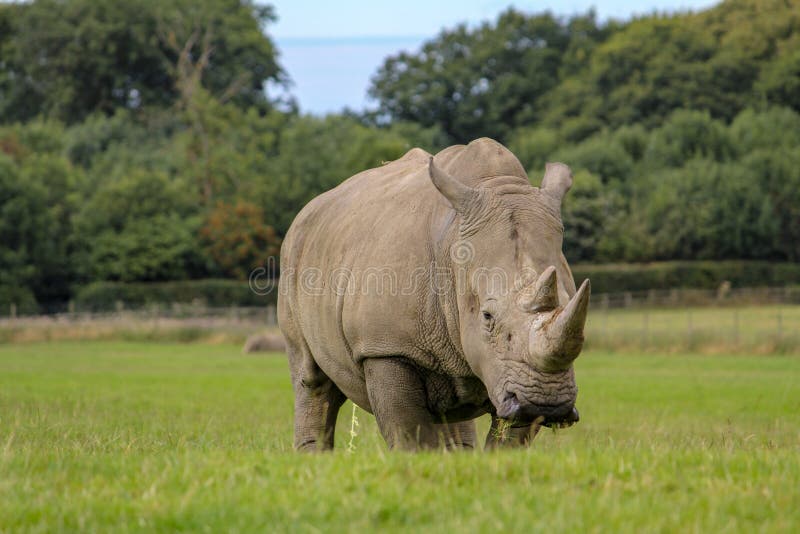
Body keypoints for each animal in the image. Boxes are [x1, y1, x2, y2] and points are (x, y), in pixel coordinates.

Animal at [278, 138, 590, 451]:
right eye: (487, 316)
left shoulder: (507, 372)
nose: (547, 404)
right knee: (312, 380)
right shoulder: (385, 347)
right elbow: (408, 433)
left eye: (571, 303)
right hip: (293, 256)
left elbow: (509, 437)